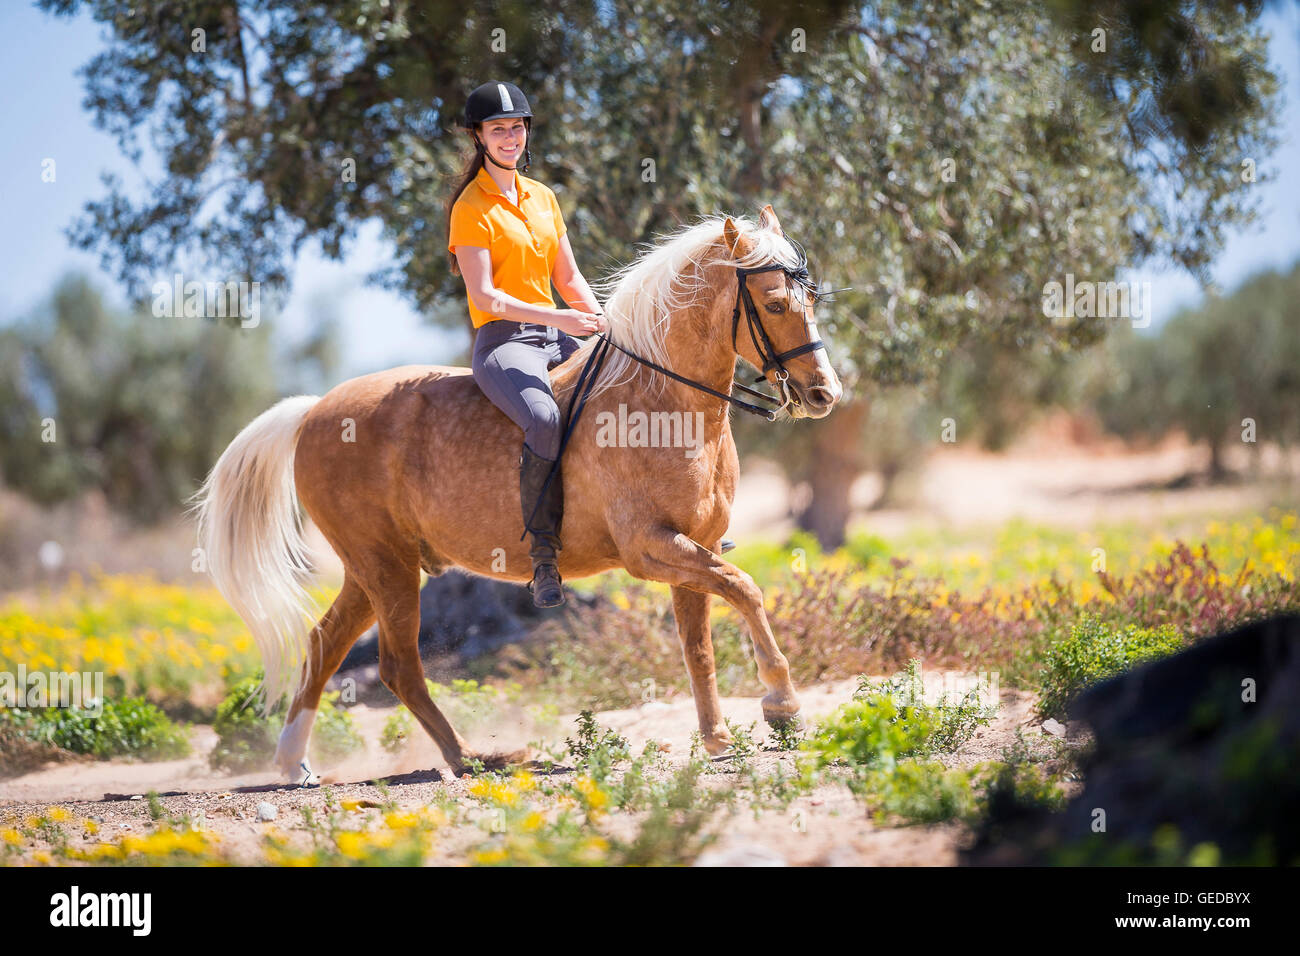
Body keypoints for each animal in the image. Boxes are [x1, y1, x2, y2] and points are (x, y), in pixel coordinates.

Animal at [194, 205, 843, 781]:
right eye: (775, 303)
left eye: (811, 300)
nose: (824, 395)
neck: (665, 404)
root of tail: (312, 413)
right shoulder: (651, 548)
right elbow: (747, 589)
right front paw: (782, 705)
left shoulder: (693, 547)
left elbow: (699, 644)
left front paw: (717, 738)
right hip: (385, 566)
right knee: (398, 666)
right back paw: (475, 760)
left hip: (374, 567)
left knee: (324, 645)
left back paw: (295, 763)